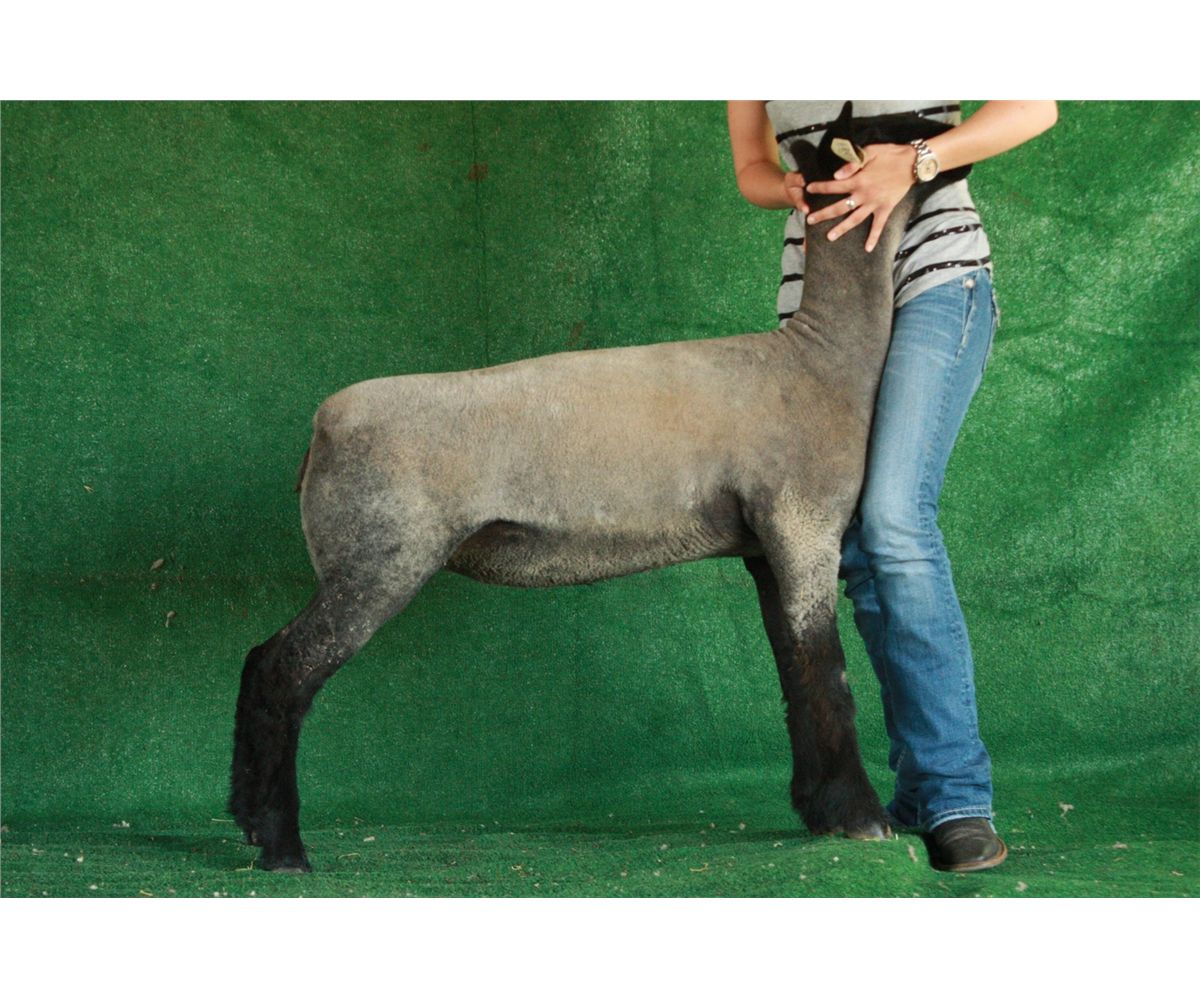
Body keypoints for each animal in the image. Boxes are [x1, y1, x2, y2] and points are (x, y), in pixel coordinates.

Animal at [229, 103, 971, 872]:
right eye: (895, 128)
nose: (956, 132)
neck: (820, 360)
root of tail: (321, 429)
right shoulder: (804, 523)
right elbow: (827, 669)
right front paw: (860, 818)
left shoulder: (766, 547)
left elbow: (794, 671)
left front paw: (819, 809)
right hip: (379, 558)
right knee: (282, 670)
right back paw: (282, 846)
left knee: (260, 662)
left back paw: (251, 822)